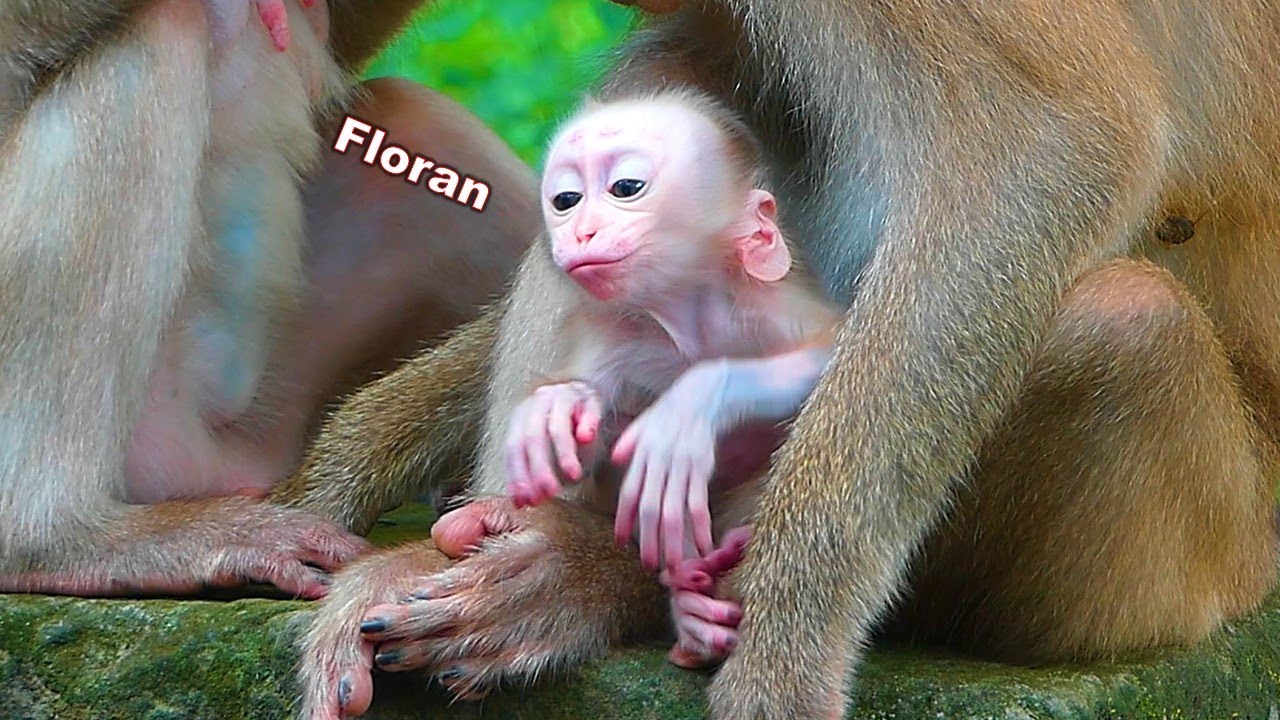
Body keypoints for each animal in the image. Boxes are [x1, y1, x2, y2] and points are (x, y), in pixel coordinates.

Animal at [281, 0, 1280, 718]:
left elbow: (1050, 145)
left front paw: (781, 660)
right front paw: (341, 474)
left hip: (1195, 562)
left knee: (1120, 323)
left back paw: (597, 577)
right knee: (685, 62)